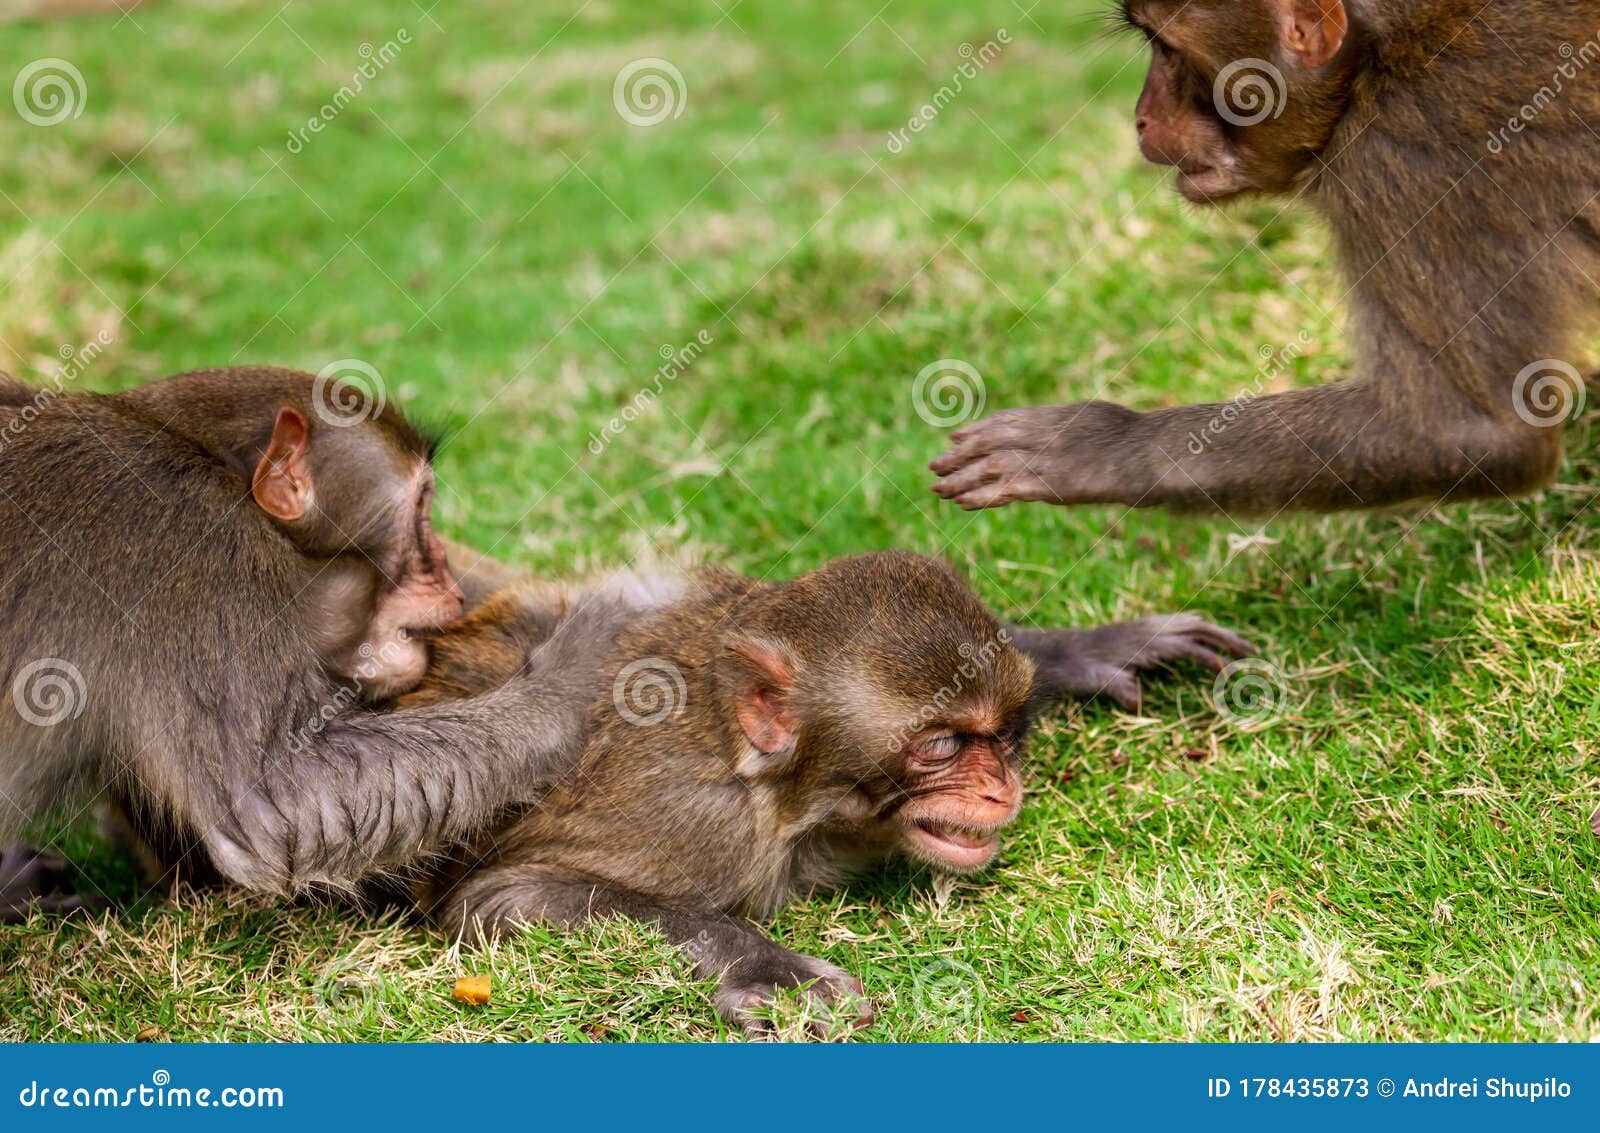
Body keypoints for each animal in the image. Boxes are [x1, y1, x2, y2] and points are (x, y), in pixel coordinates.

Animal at [396, 551, 1253, 1032]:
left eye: (1004, 731)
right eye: (941, 746)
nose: (1001, 785)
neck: (781, 796)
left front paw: (1080, 648)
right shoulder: (691, 818)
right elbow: (495, 897)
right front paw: (769, 967)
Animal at [931, 0, 1599, 515]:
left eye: (1165, 49)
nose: (1140, 119)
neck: (1377, 63)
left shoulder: (1410, 165)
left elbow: (1472, 432)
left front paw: (1102, 446)